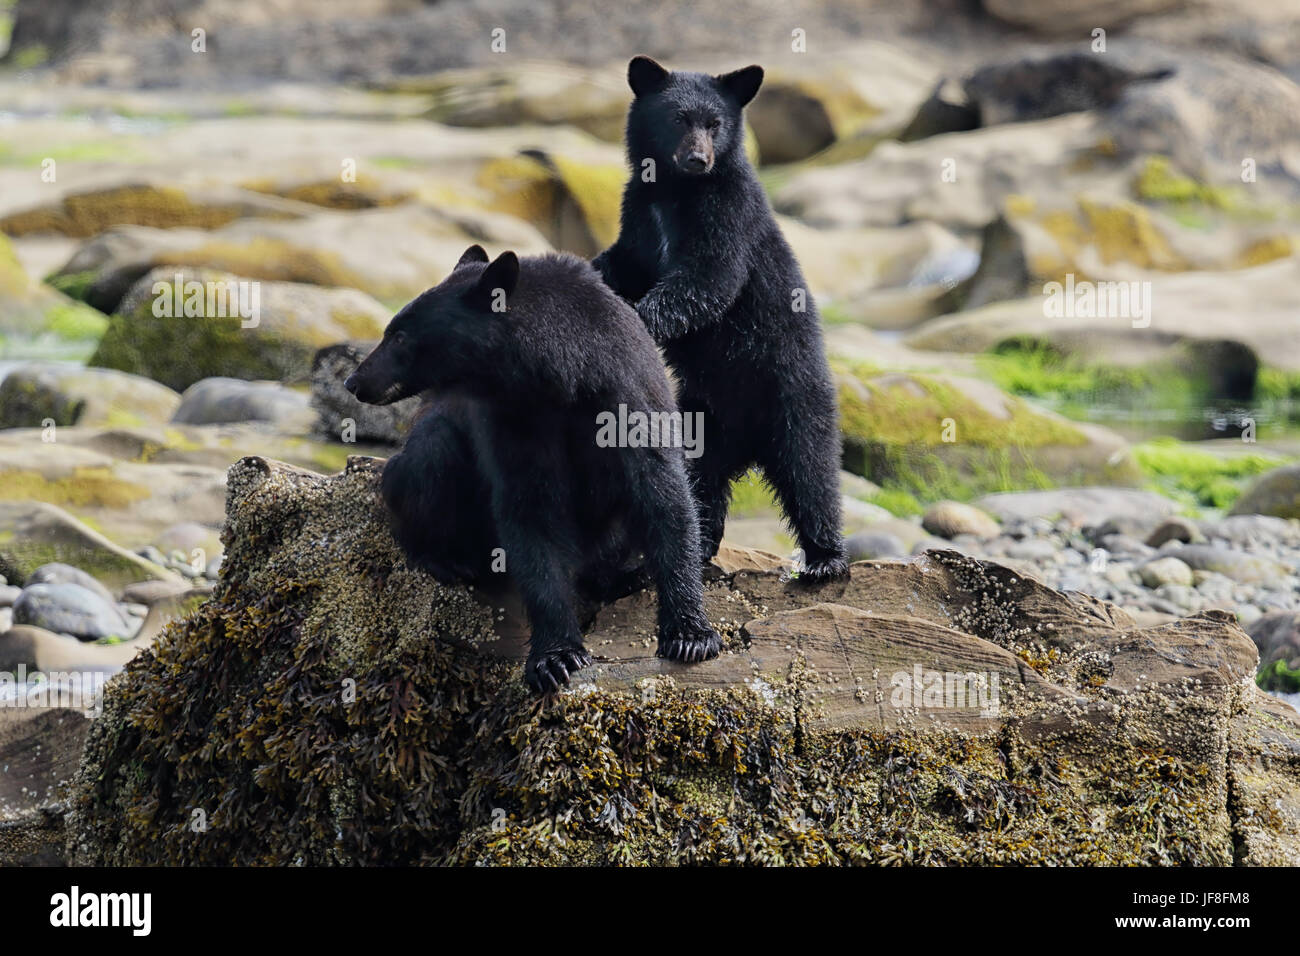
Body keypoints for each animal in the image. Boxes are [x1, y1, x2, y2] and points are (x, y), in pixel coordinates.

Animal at [345, 244, 723, 693]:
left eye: (399, 336)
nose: (354, 381)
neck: (559, 377)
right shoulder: (511, 420)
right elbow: (531, 512)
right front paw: (556, 657)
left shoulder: (626, 393)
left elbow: (662, 492)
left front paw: (691, 636)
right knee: (425, 464)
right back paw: (446, 560)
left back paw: (626, 577)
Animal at [593, 56, 849, 583]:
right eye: (677, 119)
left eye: (716, 123)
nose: (699, 159)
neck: (675, 191)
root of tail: (749, 449)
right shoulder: (637, 212)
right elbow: (625, 261)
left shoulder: (729, 212)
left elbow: (710, 276)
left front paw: (640, 318)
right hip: (700, 417)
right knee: (700, 481)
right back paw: (696, 549)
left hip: (794, 396)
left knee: (810, 471)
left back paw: (825, 560)